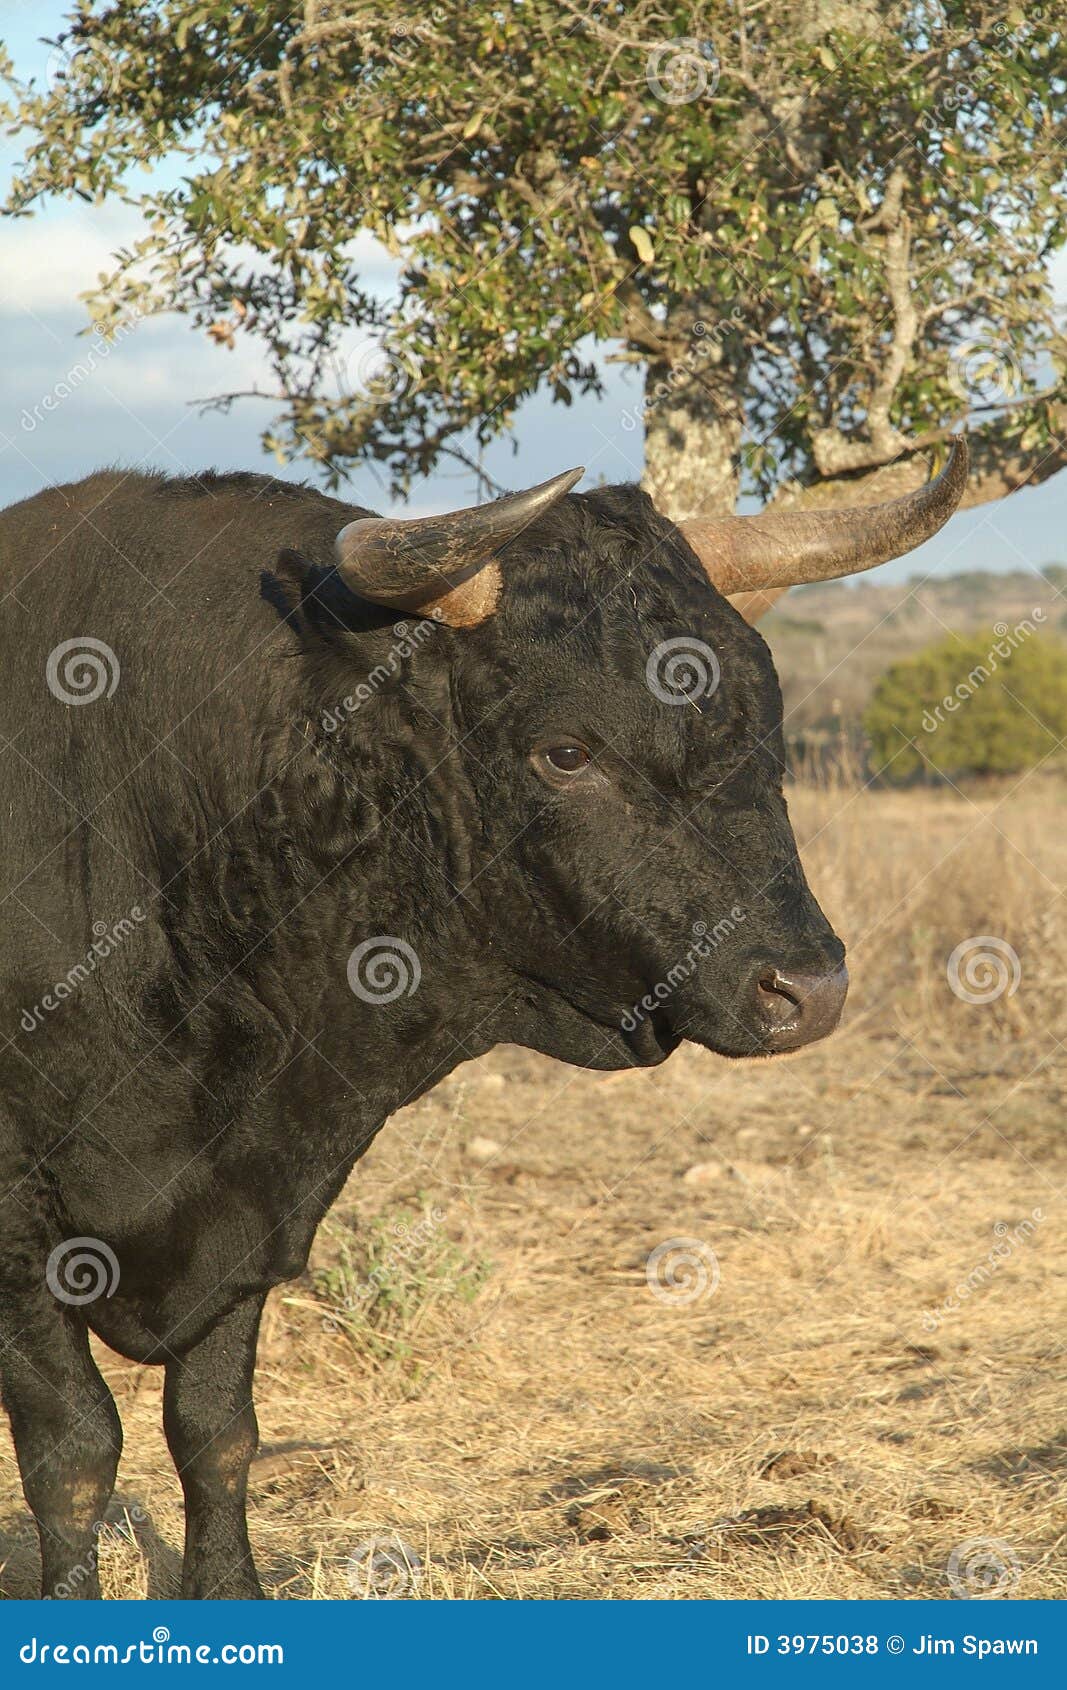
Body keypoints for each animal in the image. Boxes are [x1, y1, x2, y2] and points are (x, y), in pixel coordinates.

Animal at [0, 438, 967, 1598]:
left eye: (765, 724)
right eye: (565, 751)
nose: (808, 990)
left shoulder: (252, 1201)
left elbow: (214, 1430)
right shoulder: (15, 1226)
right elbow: (74, 1453)